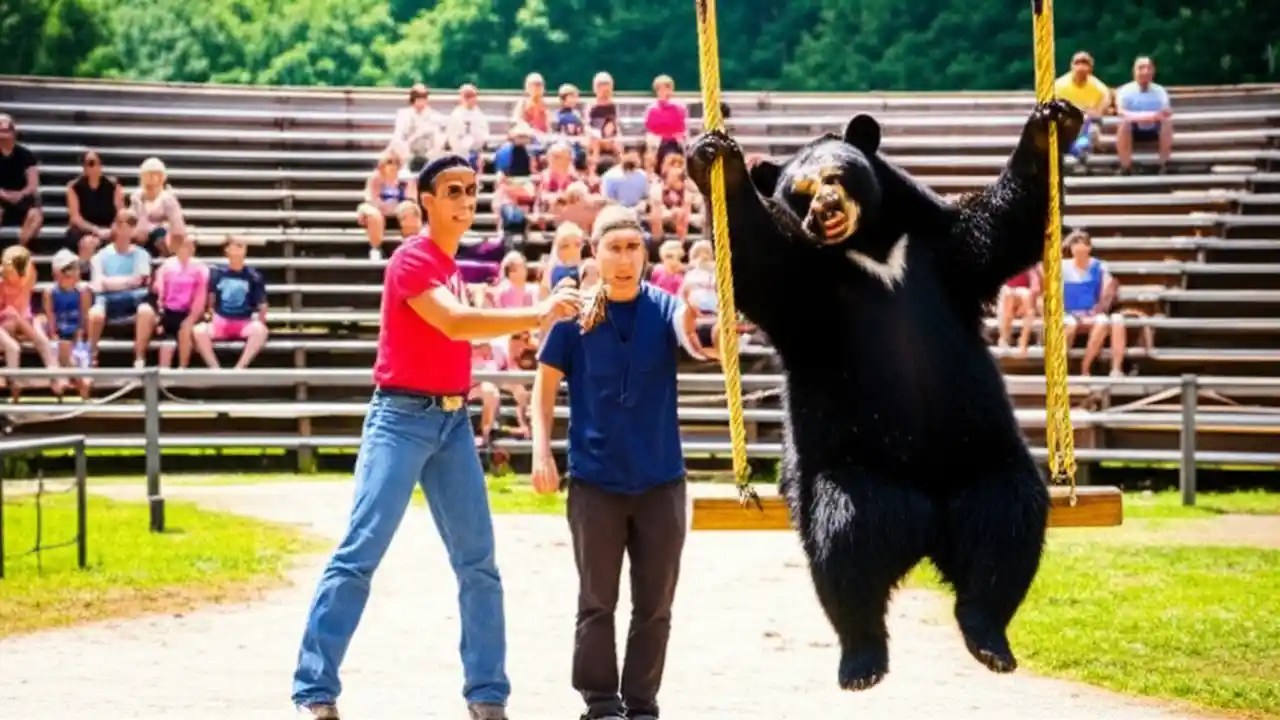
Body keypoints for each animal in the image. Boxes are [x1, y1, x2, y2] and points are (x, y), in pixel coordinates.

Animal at [685, 99, 1084, 691]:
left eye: (835, 175)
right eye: (798, 192)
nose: (823, 210)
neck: (869, 246)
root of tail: (929, 518)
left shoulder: (941, 246)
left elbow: (1002, 226)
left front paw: (1052, 122)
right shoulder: (806, 285)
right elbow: (757, 262)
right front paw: (717, 160)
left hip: (979, 447)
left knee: (1004, 519)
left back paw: (988, 637)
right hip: (849, 460)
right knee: (849, 536)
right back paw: (863, 659)